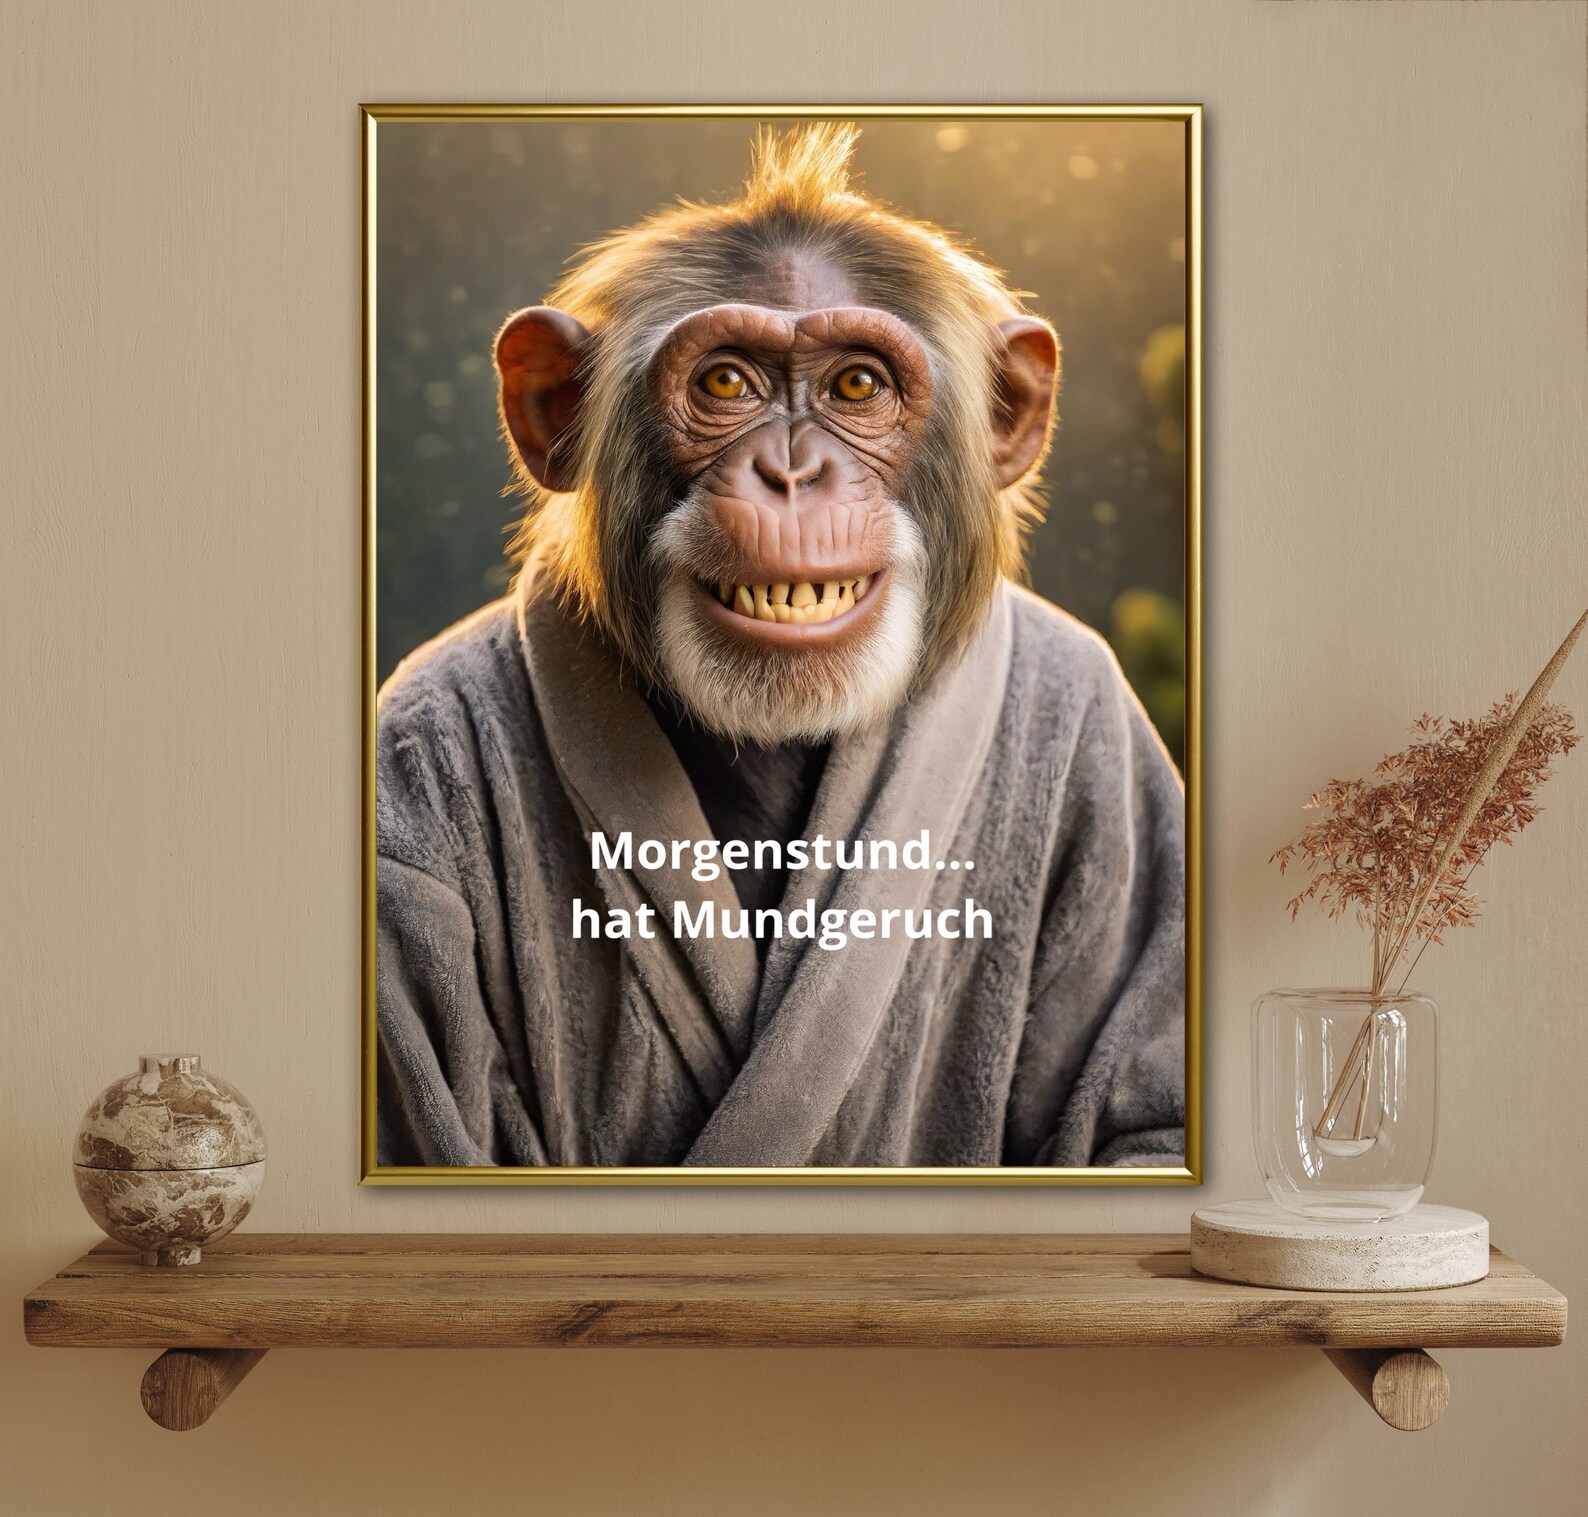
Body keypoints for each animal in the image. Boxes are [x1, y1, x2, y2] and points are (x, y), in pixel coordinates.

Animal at [376, 124, 1185, 1170]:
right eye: (726, 382)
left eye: (856, 385)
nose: (791, 471)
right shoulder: (404, 836)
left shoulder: (1108, 755)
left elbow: (1139, 1113)